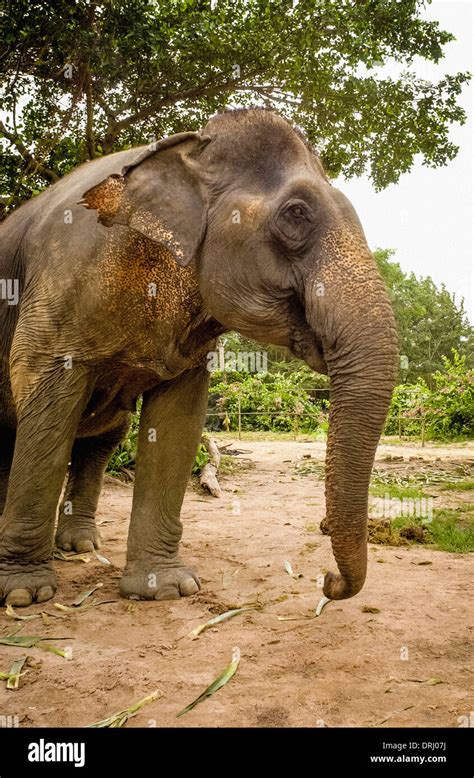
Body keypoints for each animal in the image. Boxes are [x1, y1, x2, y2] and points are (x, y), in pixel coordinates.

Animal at [0, 108, 398, 607]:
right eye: (296, 214)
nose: (327, 581)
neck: (190, 150)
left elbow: (178, 422)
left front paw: (164, 589)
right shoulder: (60, 286)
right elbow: (45, 404)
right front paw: (23, 595)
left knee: (105, 435)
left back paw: (82, 547)